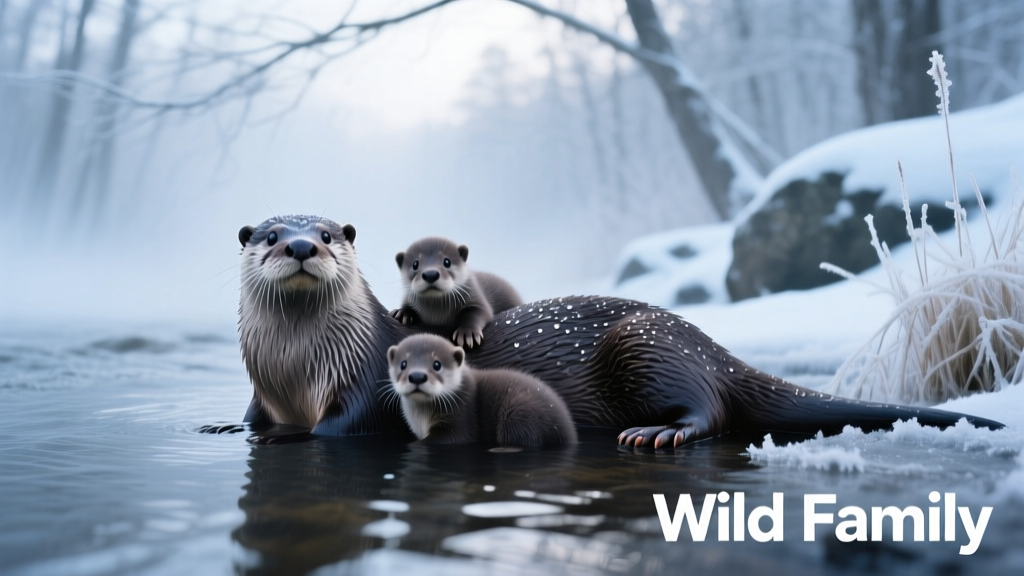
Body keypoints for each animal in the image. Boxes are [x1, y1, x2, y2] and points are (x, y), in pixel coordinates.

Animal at [386, 334, 577, 446]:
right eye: (403, 364)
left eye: (437, 364)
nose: (417, 376)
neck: (421, 419)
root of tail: (567, 428)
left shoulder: (461, 413)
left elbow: (454, 438)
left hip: (519, 412)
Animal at [392, 237, 522, 348]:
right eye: (415, 264)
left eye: (447, 261)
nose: (430, 274)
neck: (437, 313)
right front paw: (402, 312)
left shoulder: (475, 295)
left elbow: (477, 312)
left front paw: (467, 333)